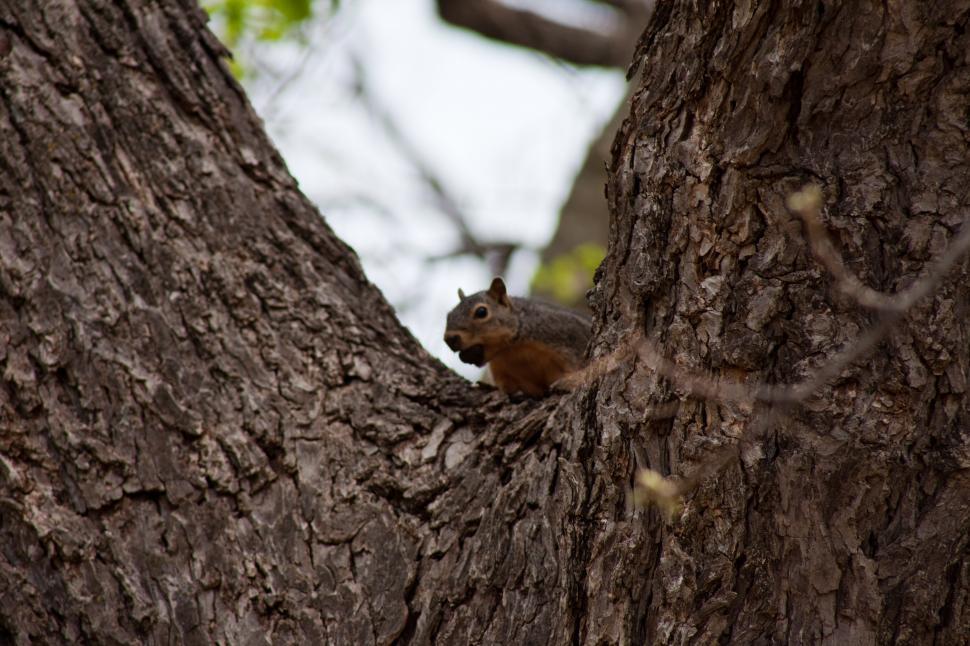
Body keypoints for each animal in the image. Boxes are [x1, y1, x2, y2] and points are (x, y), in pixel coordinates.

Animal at [444, 277, 591, 397]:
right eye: (448, 315)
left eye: (481, 312)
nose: (449, 339)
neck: (511, 350)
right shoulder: (503, 371)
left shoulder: (567, 334)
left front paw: (570, 380)